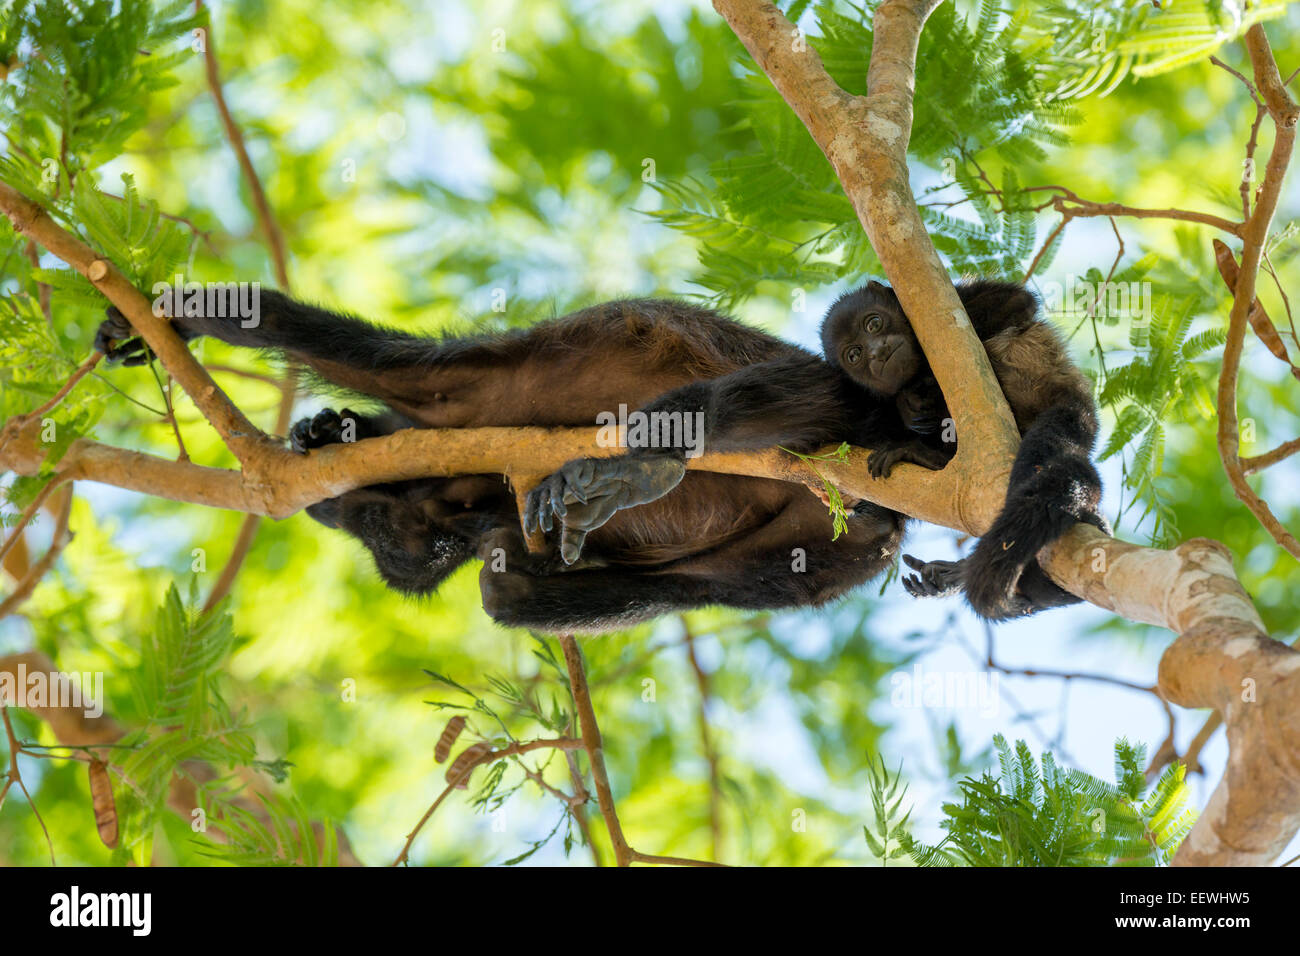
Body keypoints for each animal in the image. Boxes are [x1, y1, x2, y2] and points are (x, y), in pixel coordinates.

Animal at [95, 291, 933, 633]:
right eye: (435, 537)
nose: (455, 531)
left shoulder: (487, 391)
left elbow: (374, 362)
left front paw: (186, 316)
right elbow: (460, 567)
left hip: (846, 393)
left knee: (811, 390)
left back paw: (640, 467)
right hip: (816, 555)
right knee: (684, 584)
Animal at [819, 279, 1108, 620]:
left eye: (873, 323)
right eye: (855, 355)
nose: (877, 352)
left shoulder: (961, 295)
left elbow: (1015, 302)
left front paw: (916, 390)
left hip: (1066, 412)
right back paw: (931, 458)